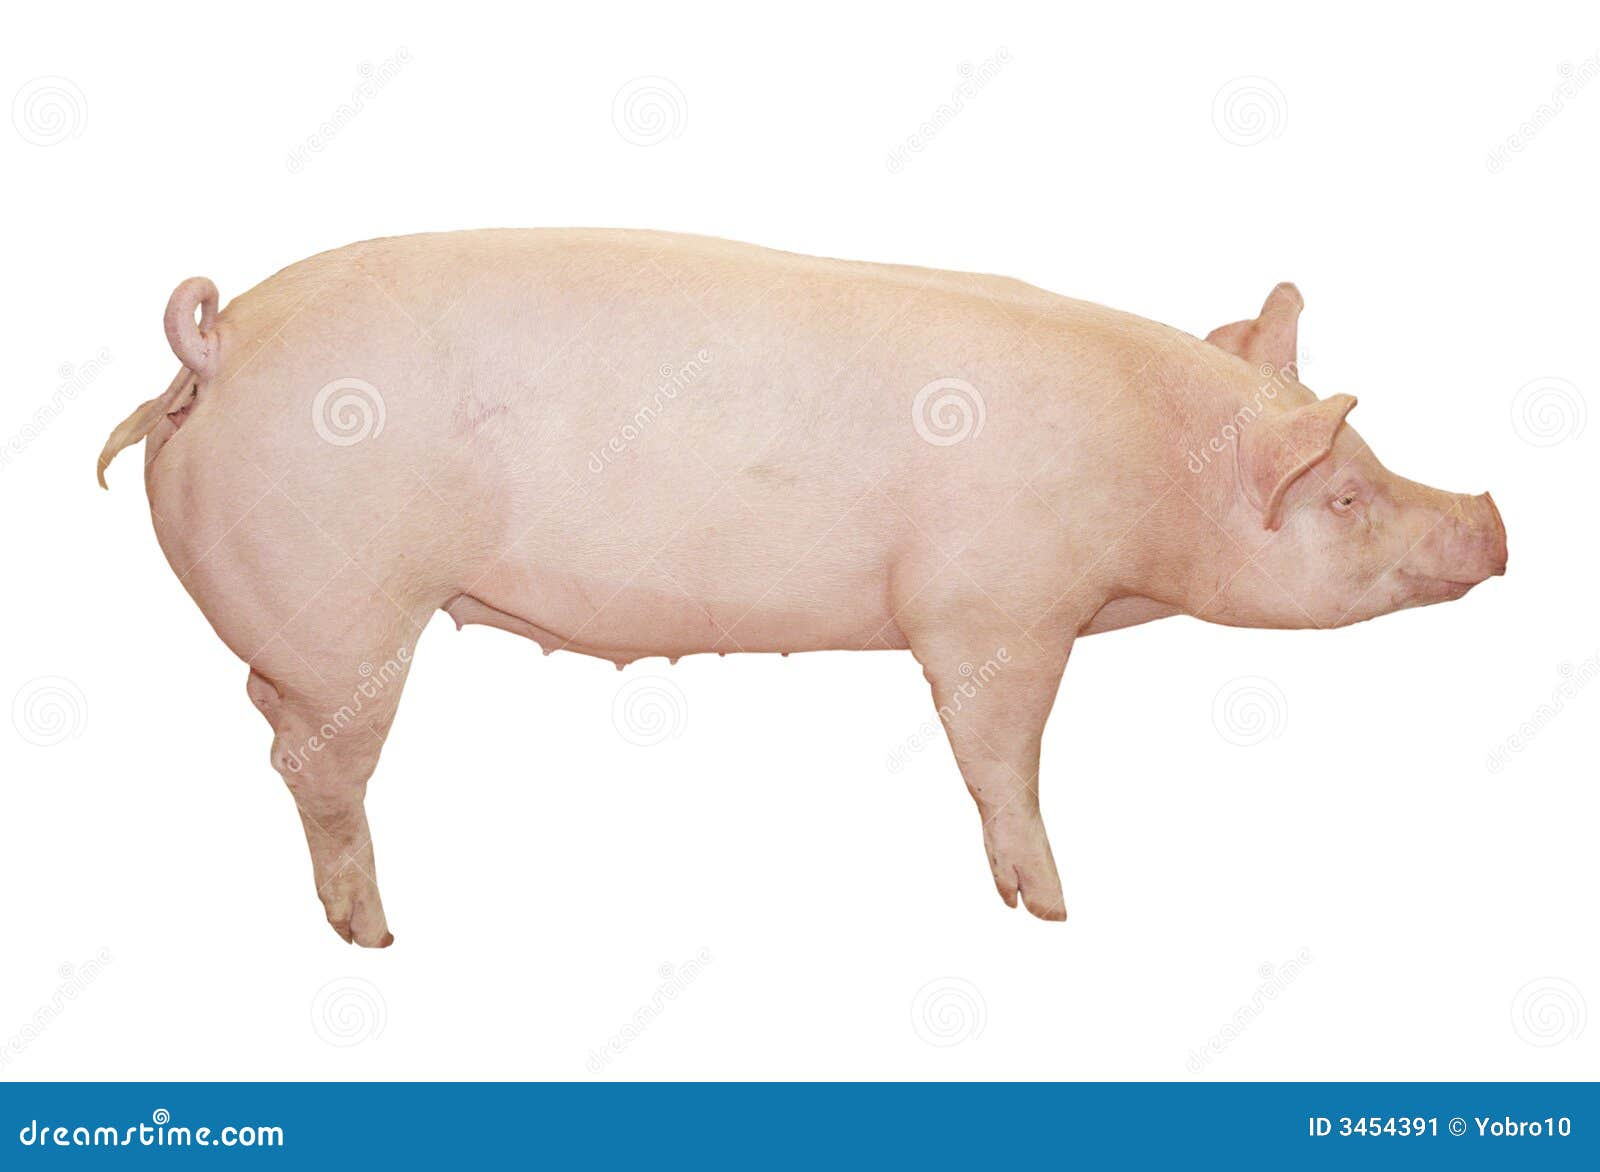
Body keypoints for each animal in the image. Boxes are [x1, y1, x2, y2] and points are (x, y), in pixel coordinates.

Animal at [98, 230, 1507, 946]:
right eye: (1342, 496)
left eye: (1369, 466)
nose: (1494, 518)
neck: (1140, 506)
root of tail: (214, 349)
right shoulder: (990, 608)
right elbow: (996, 750)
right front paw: (1053, 909)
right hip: (348, 615)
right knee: (312, 767)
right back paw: (377, 932)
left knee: (264, 719)